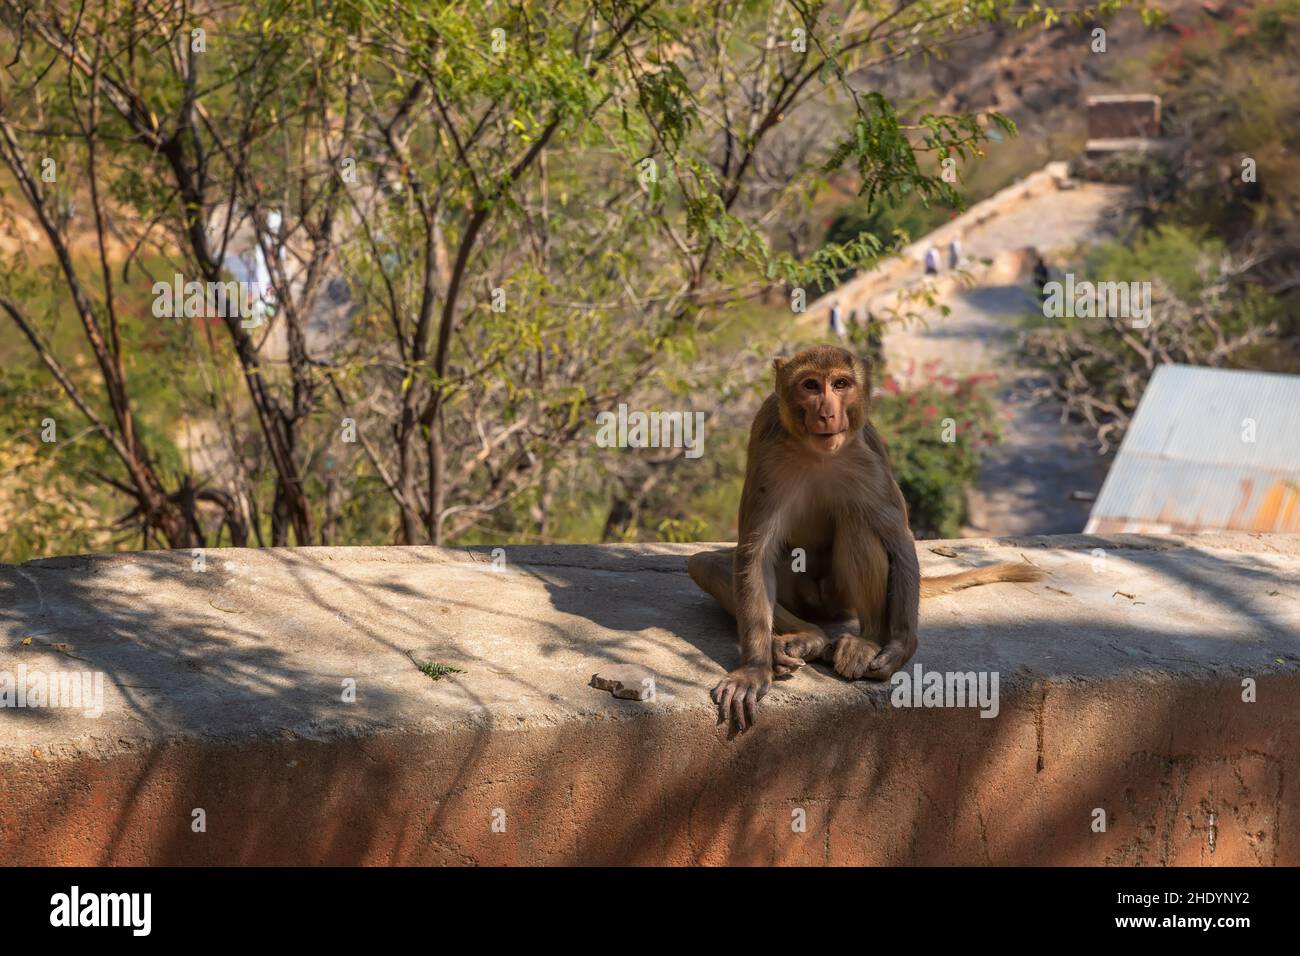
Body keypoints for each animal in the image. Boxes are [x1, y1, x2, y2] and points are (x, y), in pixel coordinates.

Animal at [687, 345, 1044, 733]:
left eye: (841, 384)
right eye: (811, 385)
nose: (827, 412)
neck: (817, 453)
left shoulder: (867, 458)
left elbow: (898, 539)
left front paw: (900, 645)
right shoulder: (767, 451)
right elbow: (755, 553)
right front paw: (754, 670)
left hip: (840, 597)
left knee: (858, 523)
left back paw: (866, 640)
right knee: (708, 565)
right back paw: (803, 640)